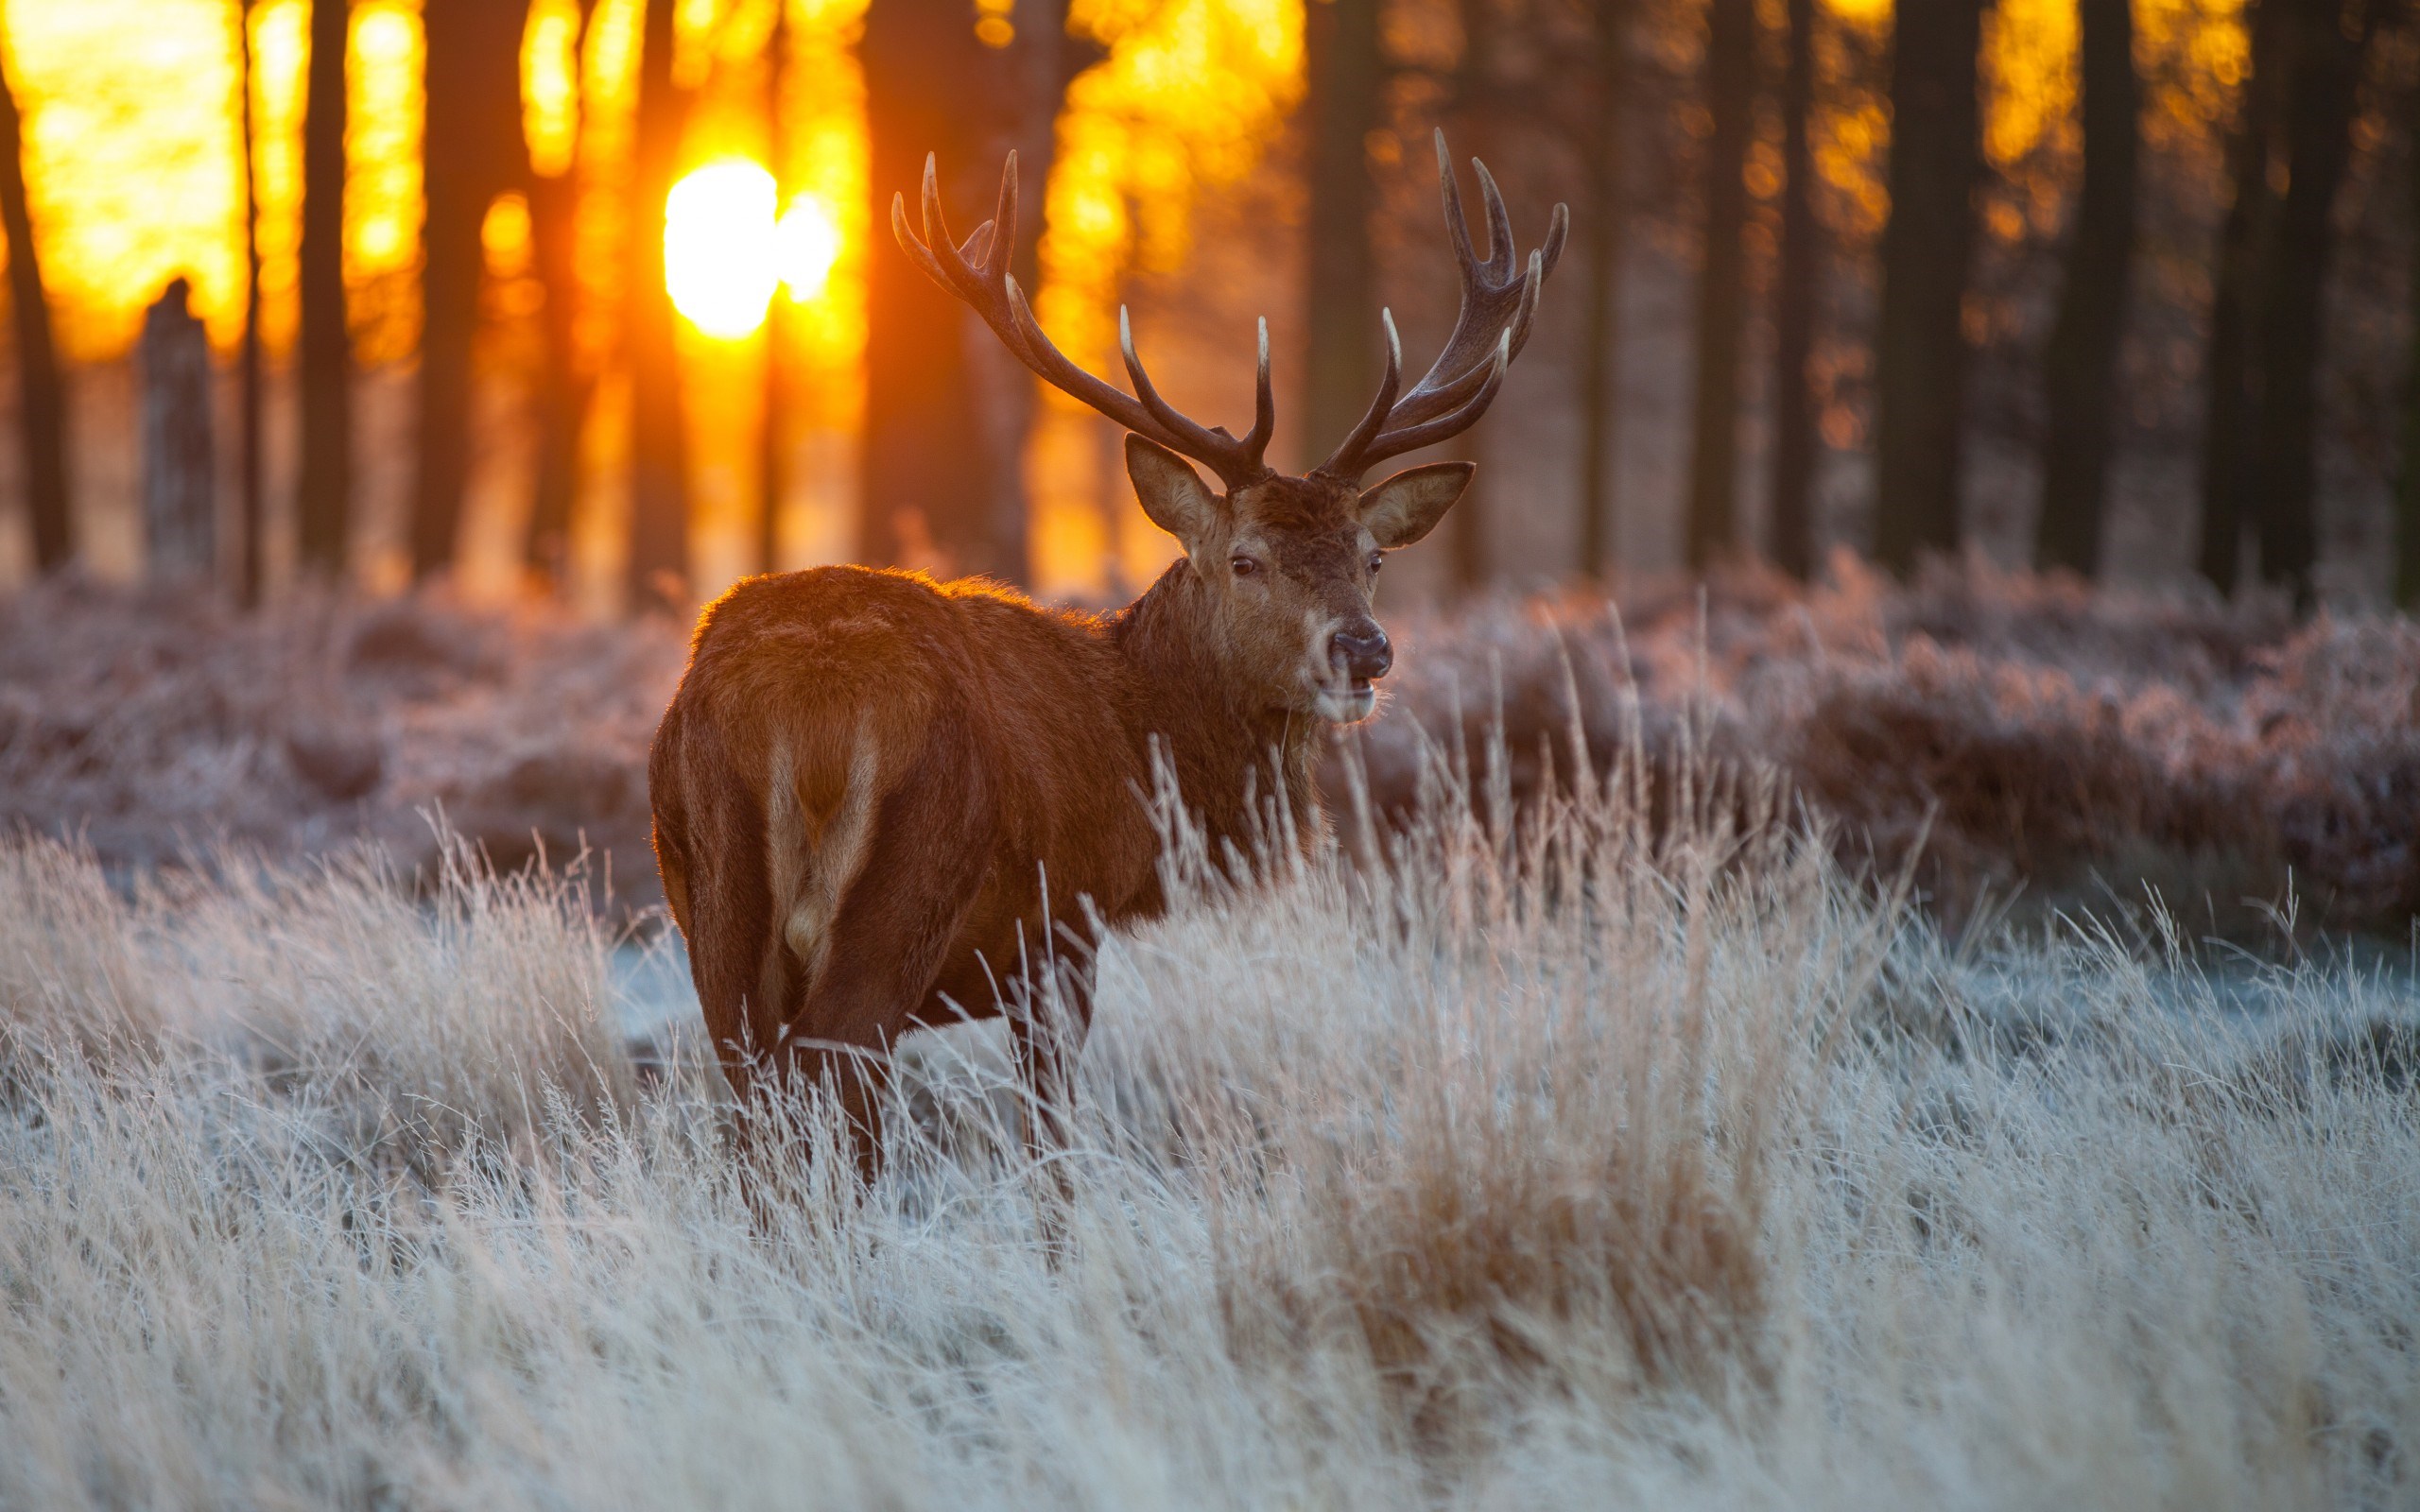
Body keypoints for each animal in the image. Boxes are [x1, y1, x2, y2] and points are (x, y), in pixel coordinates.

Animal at [648, 130, 1565, 1181]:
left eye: (1372, 557)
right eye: (1244, 558)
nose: (1364, 650)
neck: (1141, 745)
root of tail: (806, 705)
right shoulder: (1064, 928)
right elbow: (1050, 1140)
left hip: (712, 900)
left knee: (755, 1109)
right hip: (906, 887)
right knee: (835, 1084)